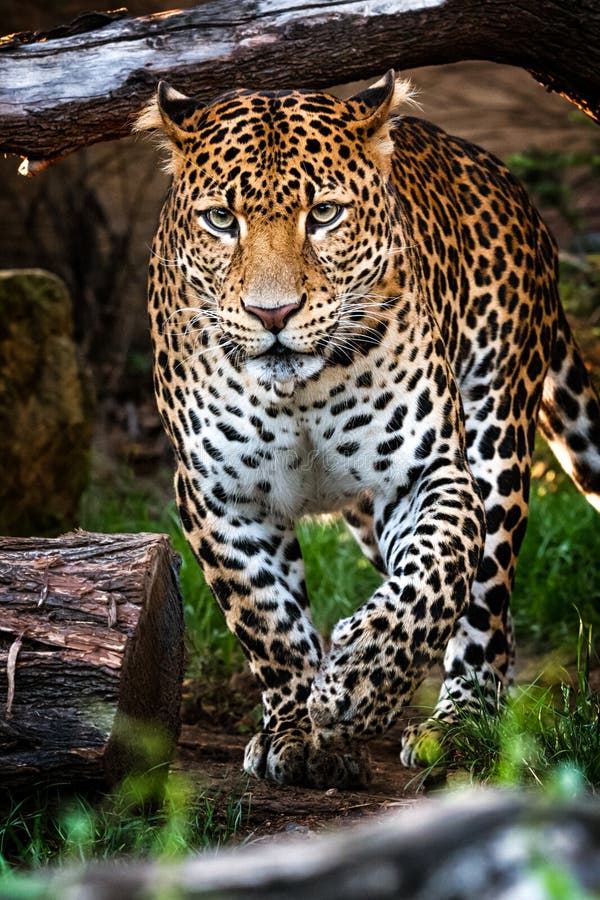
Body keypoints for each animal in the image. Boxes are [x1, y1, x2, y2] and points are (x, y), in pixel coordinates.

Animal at [136, 71, 600, 789]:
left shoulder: (427, 472)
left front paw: (355, 687)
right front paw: (299, 728)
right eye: (222, 220)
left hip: (496, 432)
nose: (273, 313)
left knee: (486, 600)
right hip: (364, 516)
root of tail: (498, 174)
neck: (298, 391)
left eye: (324, 214)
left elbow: (436, 577)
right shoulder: (219, 498)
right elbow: (267, 618)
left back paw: (461, 724)